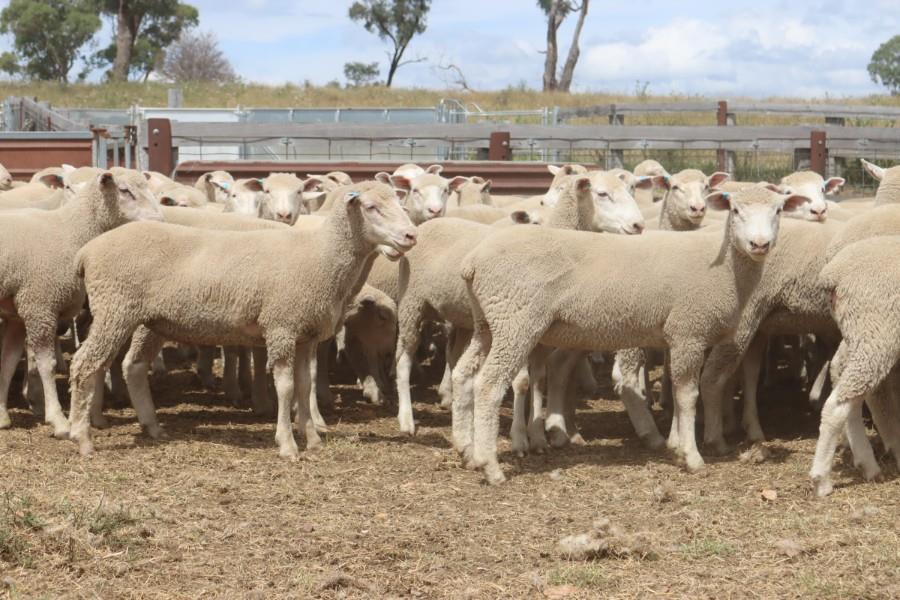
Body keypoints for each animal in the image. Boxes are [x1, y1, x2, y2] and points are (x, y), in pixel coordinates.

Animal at [0, 170, 164, 438]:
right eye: (124, 190)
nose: (160, 219)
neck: (71, 231)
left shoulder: (19, 312)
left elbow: (8, 362)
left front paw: (2, 415)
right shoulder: (40, 305)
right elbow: (47, 365)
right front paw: (58, 421)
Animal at [67, 182, 418, 459]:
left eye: (399, 203)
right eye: (371, 207)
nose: (411, 235)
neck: (321, 256)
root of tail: (86, 252)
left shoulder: (304, 334)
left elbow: (305, 385)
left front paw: (313, 439)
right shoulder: (281, 326)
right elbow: (286, 387)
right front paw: (287, 444)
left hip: (149, 320)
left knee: (133, 366)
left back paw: (152, 427)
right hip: (114, 309)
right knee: (85, 365)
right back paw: (81, 437)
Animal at [451, 186, 810, 484]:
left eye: (779, 210)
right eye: (735, 210)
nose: (759, 244)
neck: (725, 268)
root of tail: (472, 262)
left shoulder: (674, 336)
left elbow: (676, 391)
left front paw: (678, 445)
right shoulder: (689, 331)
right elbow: (688, 395)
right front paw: (692, 457)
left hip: (488, 323)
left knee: (463, 374)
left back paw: (467, 451)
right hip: (516, 322)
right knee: (489, 385)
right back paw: (491, 467)